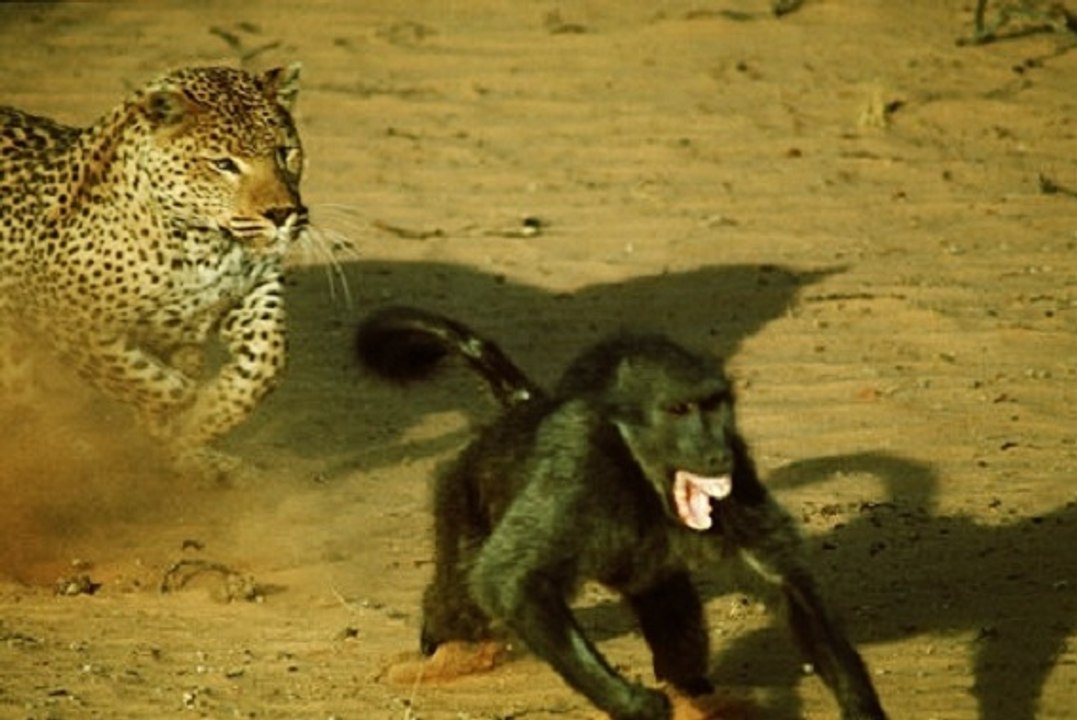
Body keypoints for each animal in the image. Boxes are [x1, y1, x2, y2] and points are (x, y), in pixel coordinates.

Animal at [0, 64, 308, 478]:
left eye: (284, 152)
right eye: (223, 164)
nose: (282, 214)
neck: (201, 245)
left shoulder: (255, 290)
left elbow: (264, 361)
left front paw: (204, 423)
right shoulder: (68, 324)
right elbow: (141, 378)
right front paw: (178, 415)